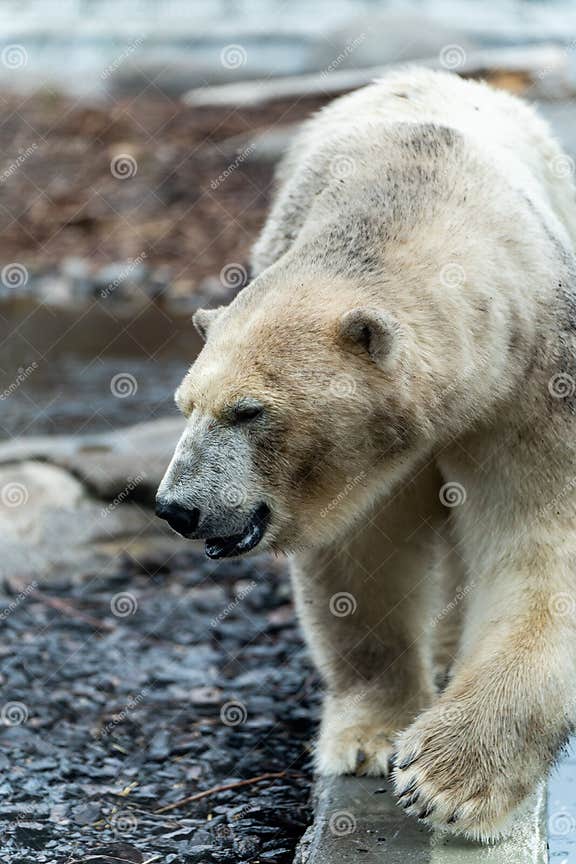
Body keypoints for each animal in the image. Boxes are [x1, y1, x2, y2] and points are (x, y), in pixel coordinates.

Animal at [156, 67, 576, 841]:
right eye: (184, 404)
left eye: (248, 410)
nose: (179, 508)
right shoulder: (357, 468)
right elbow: (362, 560)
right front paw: (370, 740)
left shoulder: (535, 378)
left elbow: (540, 543)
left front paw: (447, 778)